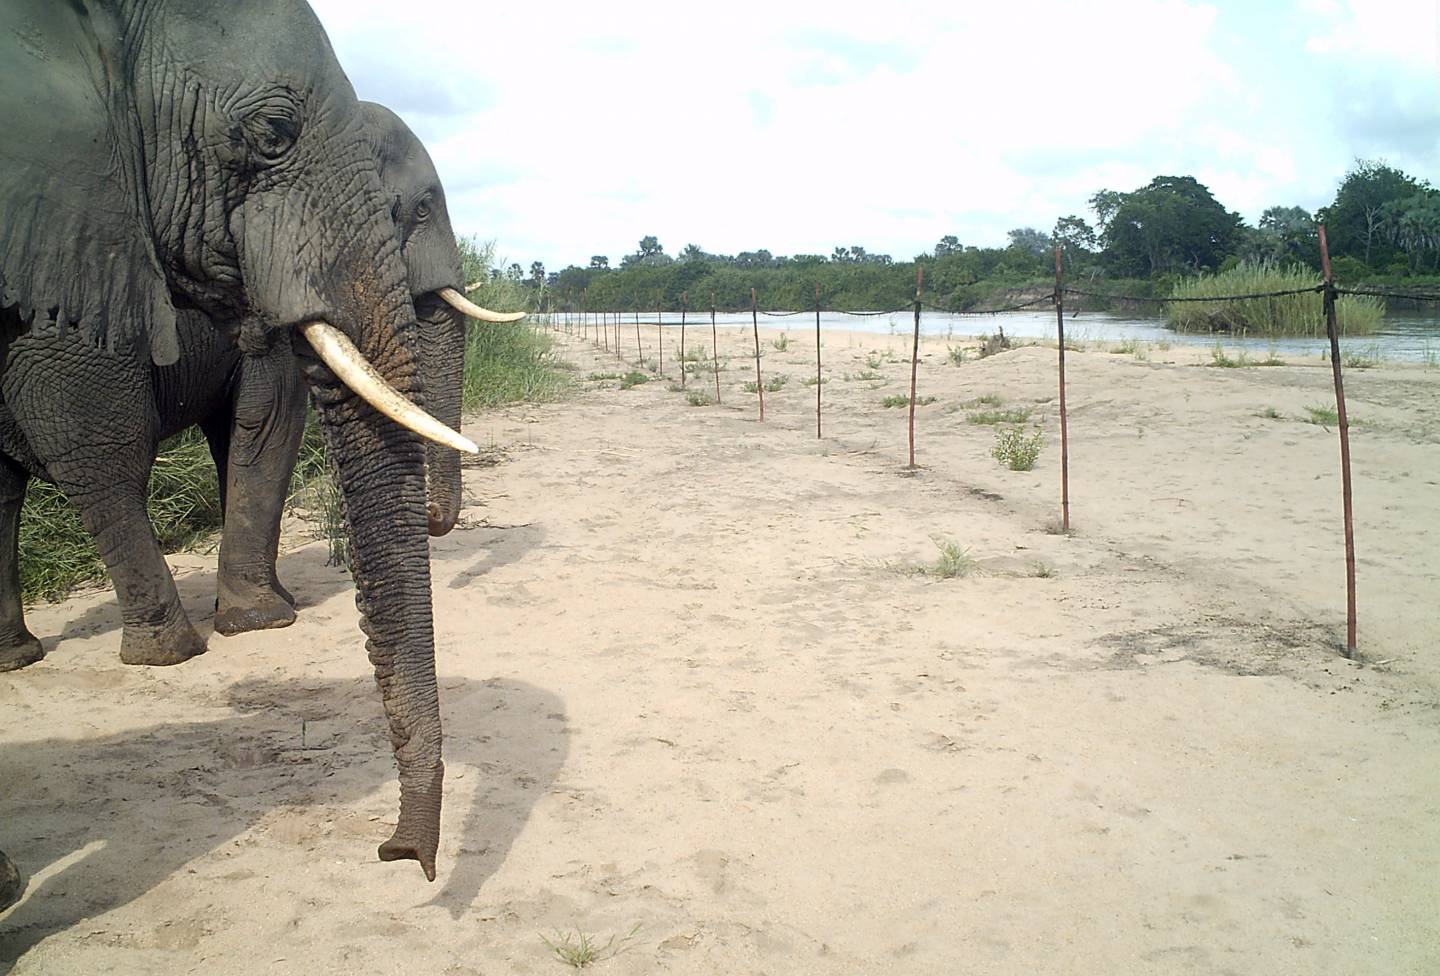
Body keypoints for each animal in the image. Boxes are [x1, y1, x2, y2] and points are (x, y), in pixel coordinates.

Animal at [0, 0, 476, 899]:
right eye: (274, 133)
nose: (400, 855)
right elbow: (266, 420)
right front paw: (263, 623)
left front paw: (270, 605)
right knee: (102, 457)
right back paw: (168, 651)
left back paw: (18, 660)